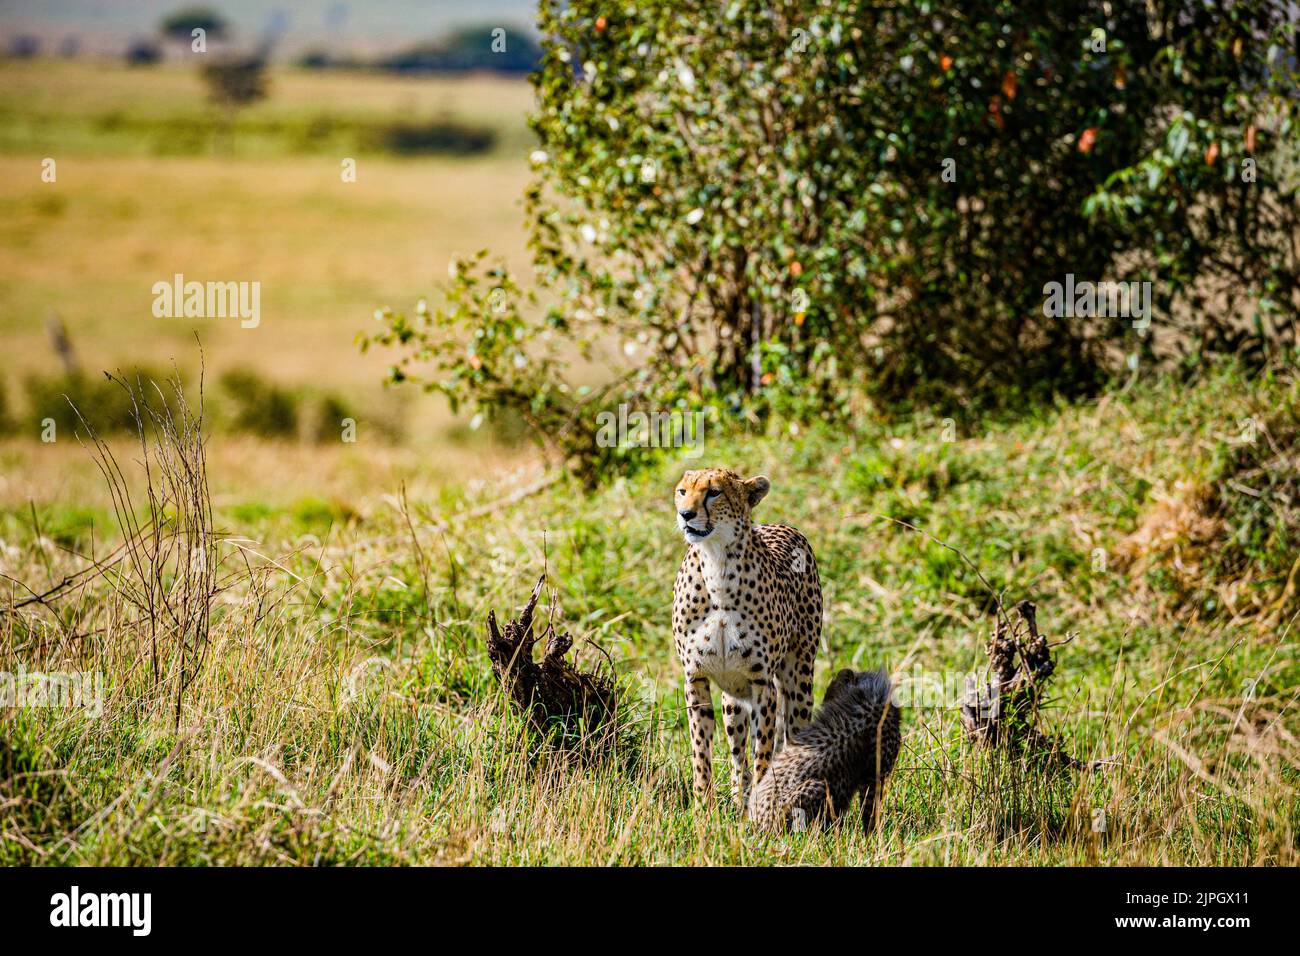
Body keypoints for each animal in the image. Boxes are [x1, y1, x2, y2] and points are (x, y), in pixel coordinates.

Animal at [671, 467, 823, 806]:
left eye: (714, 492)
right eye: (682, 491)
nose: (685, 514)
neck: (716, 566)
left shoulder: (762, 682)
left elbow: (763, 753)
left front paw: (760, 804)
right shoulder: (696, 676)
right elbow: (701, 750)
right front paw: (703, 807)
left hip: (799, 678)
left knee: (791, 733)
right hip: (733, 698)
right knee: (737, 754)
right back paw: (736, 799)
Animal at [747, 667, 902, 834]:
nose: (824, 703)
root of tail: (757, 825)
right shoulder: (874, 776)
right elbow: (870, 812)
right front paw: (872, 836)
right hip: (817, 787)